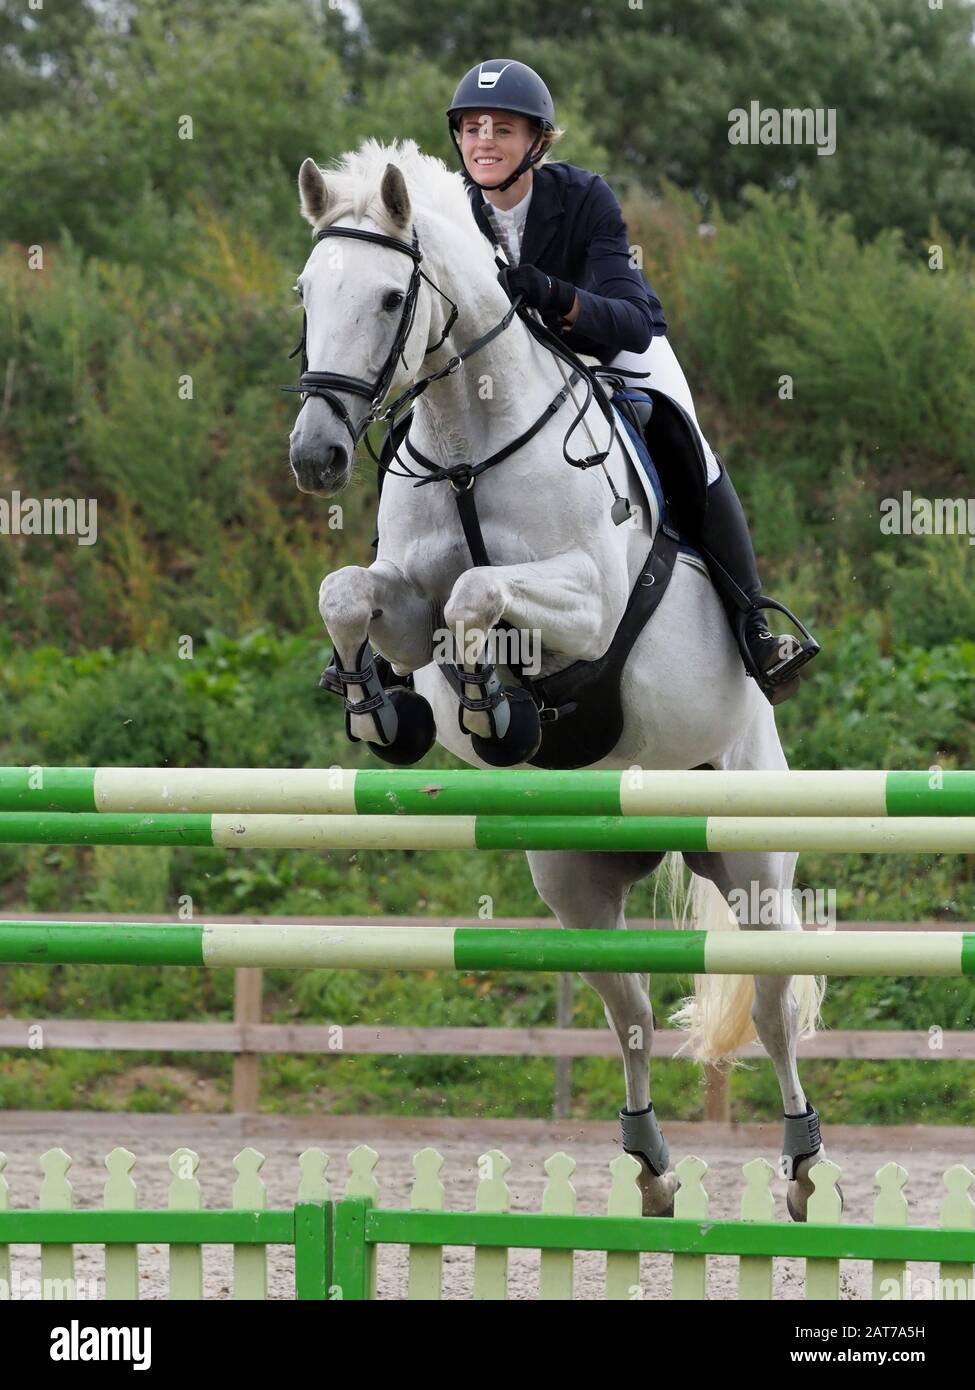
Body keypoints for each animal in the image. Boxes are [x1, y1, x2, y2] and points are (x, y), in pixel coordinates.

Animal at [285, 139, 825, 1219]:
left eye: (387, 297)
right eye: (307, 293)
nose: (315, 457)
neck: (467, 442)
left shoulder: (587, 603)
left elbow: (481, 593)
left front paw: (499, 705)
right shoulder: (403, 597)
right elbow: (352, 593)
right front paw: (384, 711)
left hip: (752, 857)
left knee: (774, 1008)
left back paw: (797, 1164)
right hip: (577, 884)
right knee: (631, 1012)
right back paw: (651, 1166)